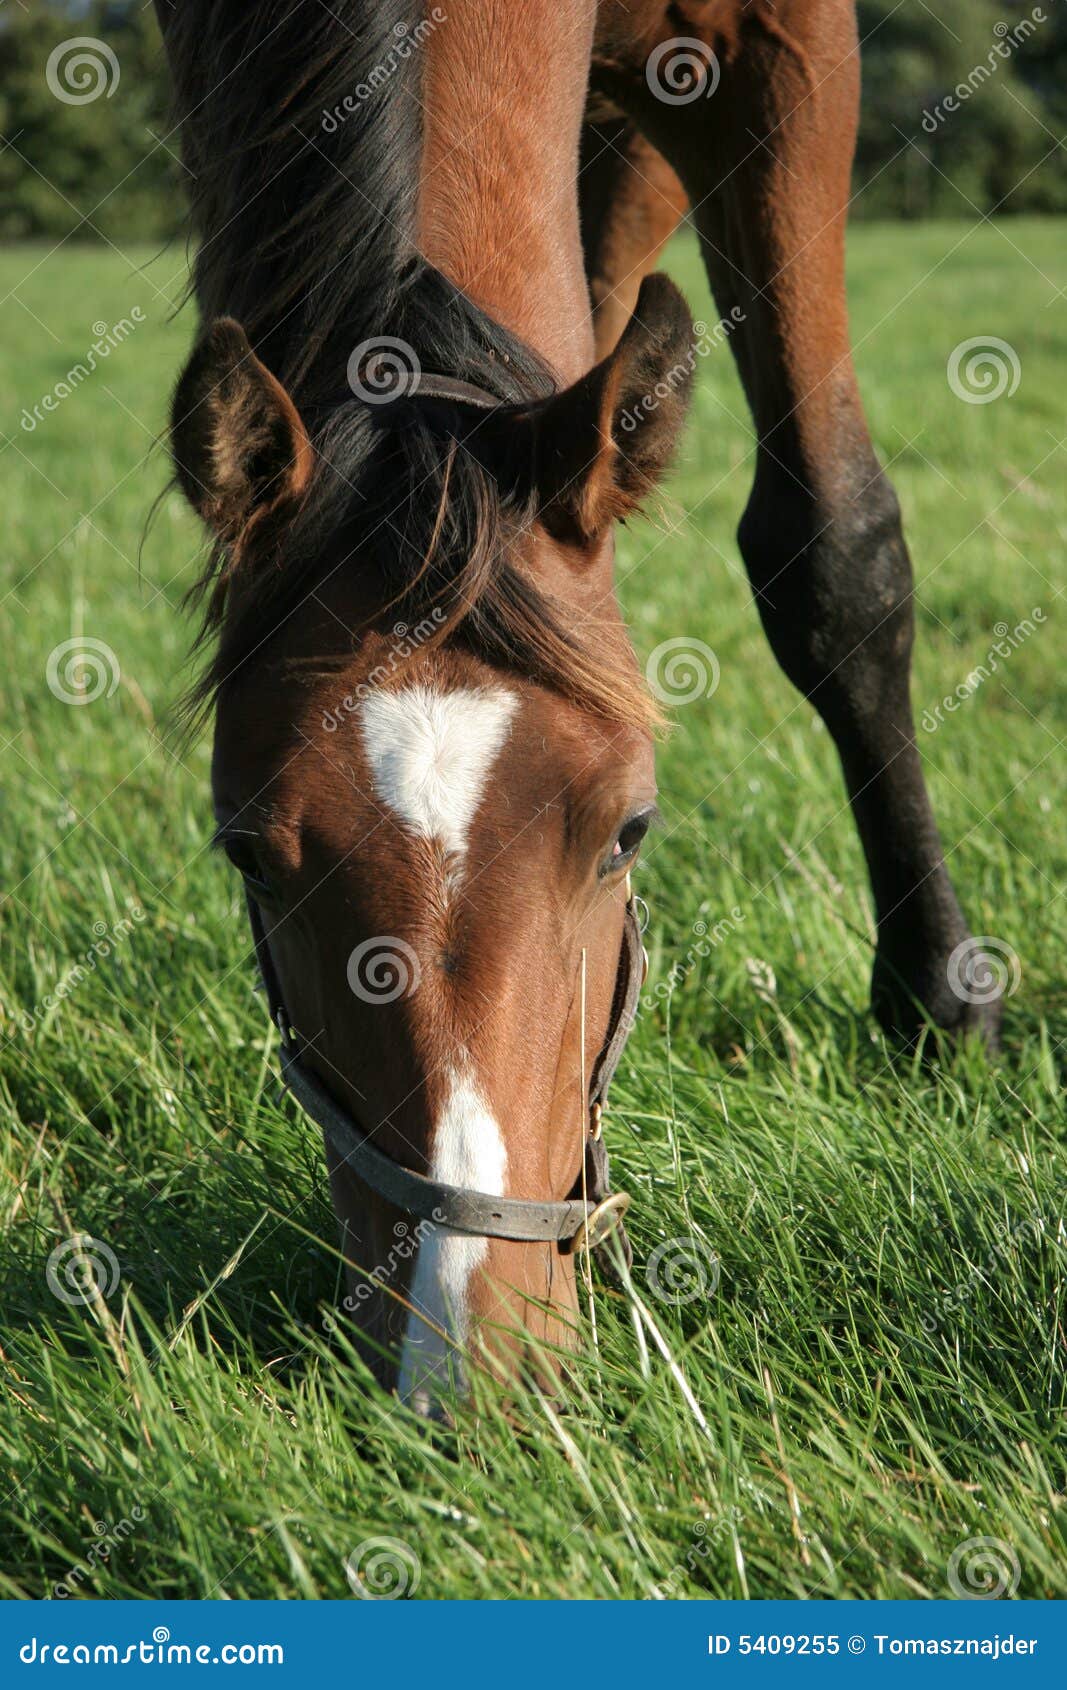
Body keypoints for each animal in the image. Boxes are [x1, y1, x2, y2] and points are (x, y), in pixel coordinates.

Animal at [155, 0, 995, 1413]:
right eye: (251, 858)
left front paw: (934, 1007)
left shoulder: (779, 47)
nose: (468, 1355)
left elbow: (833, 553)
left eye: (627, 833)